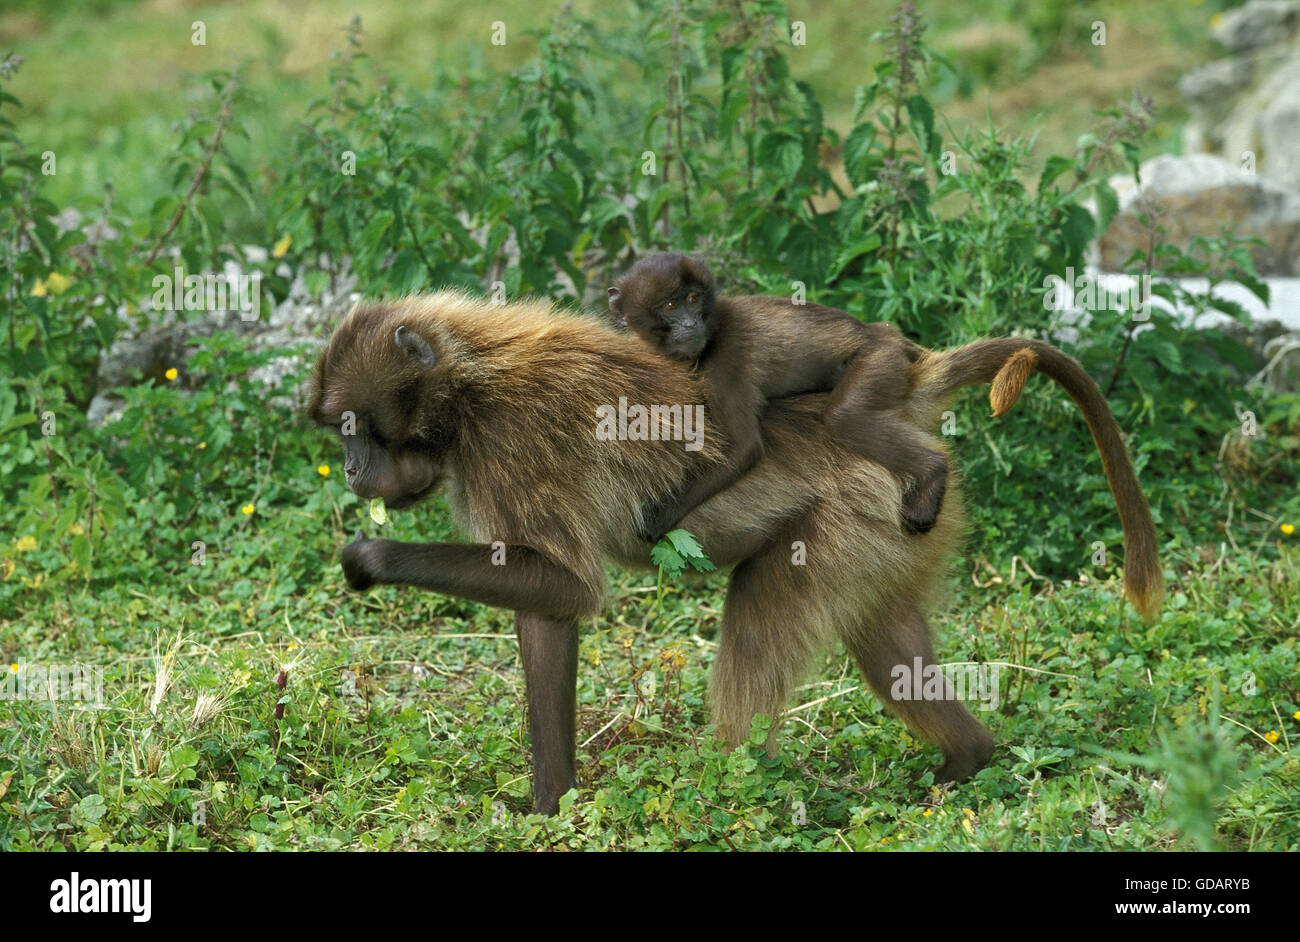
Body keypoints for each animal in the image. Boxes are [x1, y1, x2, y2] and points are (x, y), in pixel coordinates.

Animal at [308, 291, 1163, 815]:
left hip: (851, 511)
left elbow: (568, 586)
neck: (470, 379)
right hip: (900, 525)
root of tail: (902, 400)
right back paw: (967, 761)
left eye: (355, 426)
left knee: (760, 611)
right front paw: (552, 809)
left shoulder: (509, 446)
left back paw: (723, 792)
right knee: (886, 641)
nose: (351, 471)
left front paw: (371, 557)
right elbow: (548, 611)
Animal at [607, 253, 947, 542]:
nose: (692, 323)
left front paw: (659, 519)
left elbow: (745, 447)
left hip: (880, 357)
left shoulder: (726, 358)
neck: (714, 326)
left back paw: (934, 470)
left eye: (692, 299)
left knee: (844, 416)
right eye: (670, 307)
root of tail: (883, 332)